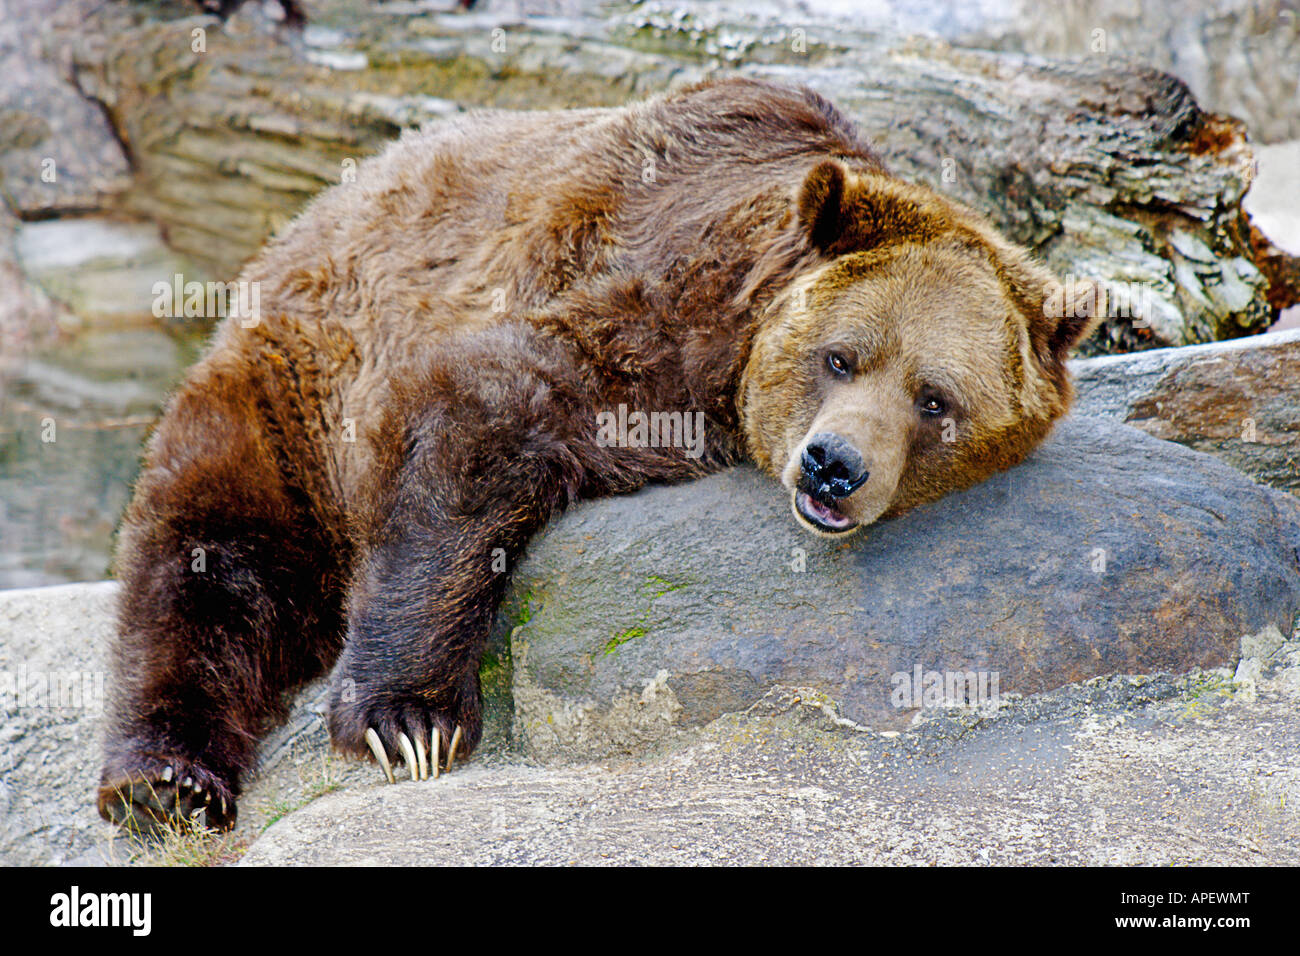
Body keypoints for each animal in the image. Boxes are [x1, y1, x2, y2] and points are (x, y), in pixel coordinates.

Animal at [97, 77, 1100, 831]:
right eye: (841, 356)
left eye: (936, 399)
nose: (834, 466)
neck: (727, 357)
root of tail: (305, 219)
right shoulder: (632, 306)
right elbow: (477, 423)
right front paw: (408, 719)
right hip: (296, 385)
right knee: (215, 556)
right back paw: (164, 780)